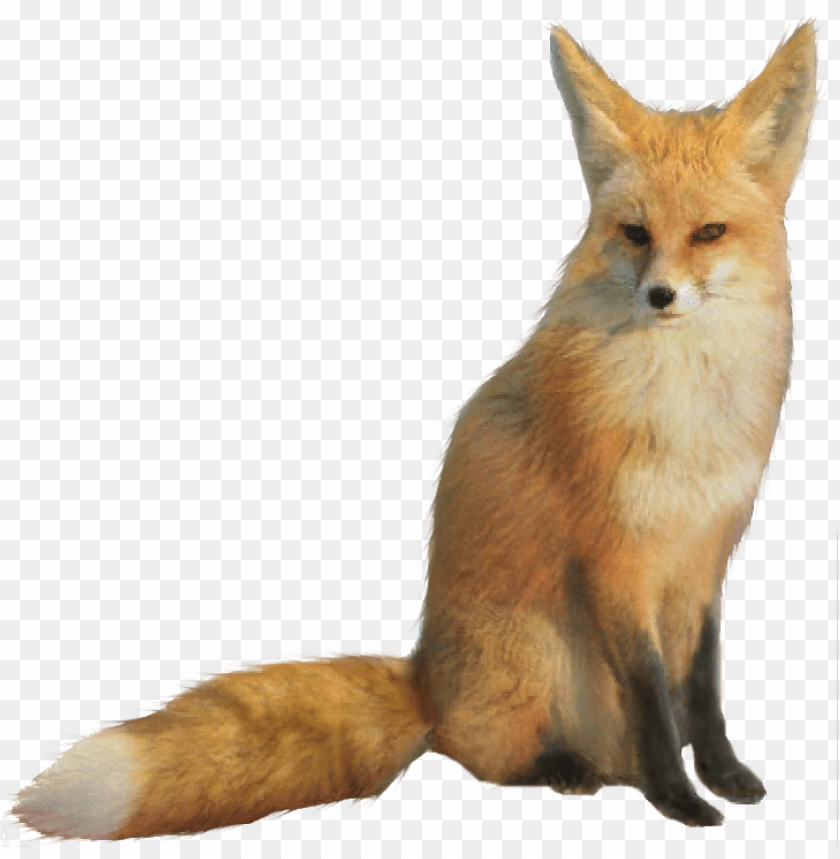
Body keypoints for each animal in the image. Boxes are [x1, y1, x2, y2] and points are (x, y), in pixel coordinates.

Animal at [13, 22, 816, 838]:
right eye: (635, 233)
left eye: (709, 232)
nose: (660, 295)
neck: (685, 408)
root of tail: (424, 676)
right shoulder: (616, 561)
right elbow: (654, 702)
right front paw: (679, 800)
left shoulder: (705, 559)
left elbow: (704, 694)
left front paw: (725, 775)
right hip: (535, 649)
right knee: (474, 750)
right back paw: (565, 767)